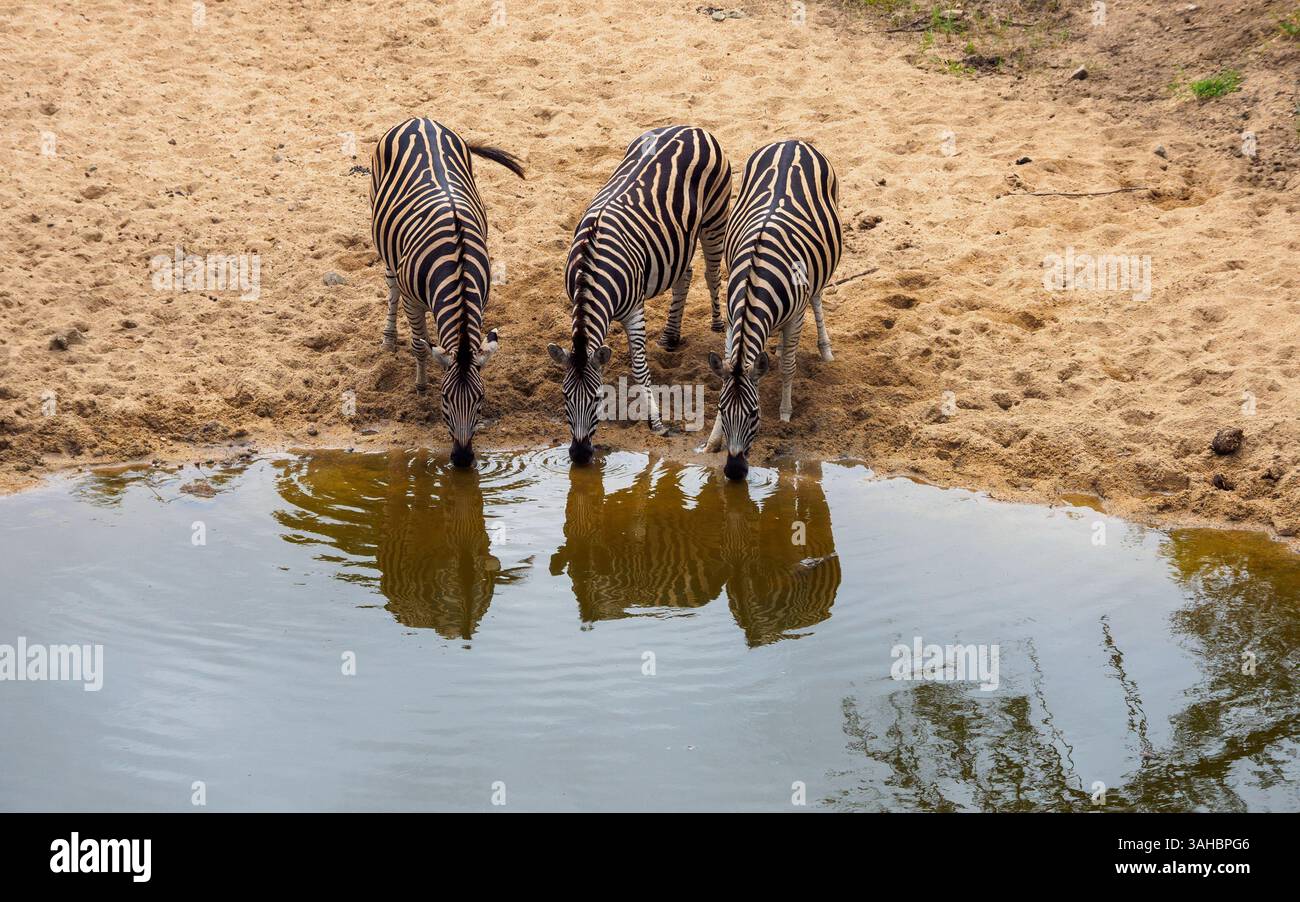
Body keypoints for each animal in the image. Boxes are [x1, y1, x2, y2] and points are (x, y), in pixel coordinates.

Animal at [370, 118, 524, 467]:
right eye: (444, 397)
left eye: (480, 398)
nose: (463, 459)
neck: (457, 266)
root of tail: (420, 119)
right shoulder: (412, 297)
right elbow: (418, 344)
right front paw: (420, 386)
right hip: (381, 234)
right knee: (390, 285)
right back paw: (388, 338)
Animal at [547, 125, 731, 463]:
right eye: (565, 396)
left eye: (597, 398)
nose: (579, 454)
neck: (591, 271)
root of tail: (690, 127)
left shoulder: (634, 310)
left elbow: (640, 368)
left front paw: (656, 423)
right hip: (679, 242)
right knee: (685, 276)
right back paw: (670, 336)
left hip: (715, 220)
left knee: (712, 274)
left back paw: (716, 321)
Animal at [704, 140, 843, 481]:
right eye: (721, 410)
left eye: (755, 414)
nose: (734, 471)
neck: (756, 279)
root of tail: (793, 142)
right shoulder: (732, 319)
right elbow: (729, 363)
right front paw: (712, 440)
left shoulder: (796, 316)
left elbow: (788, 368)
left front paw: (785, 414)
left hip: (818, 271)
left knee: (817, 297)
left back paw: (824, 349)